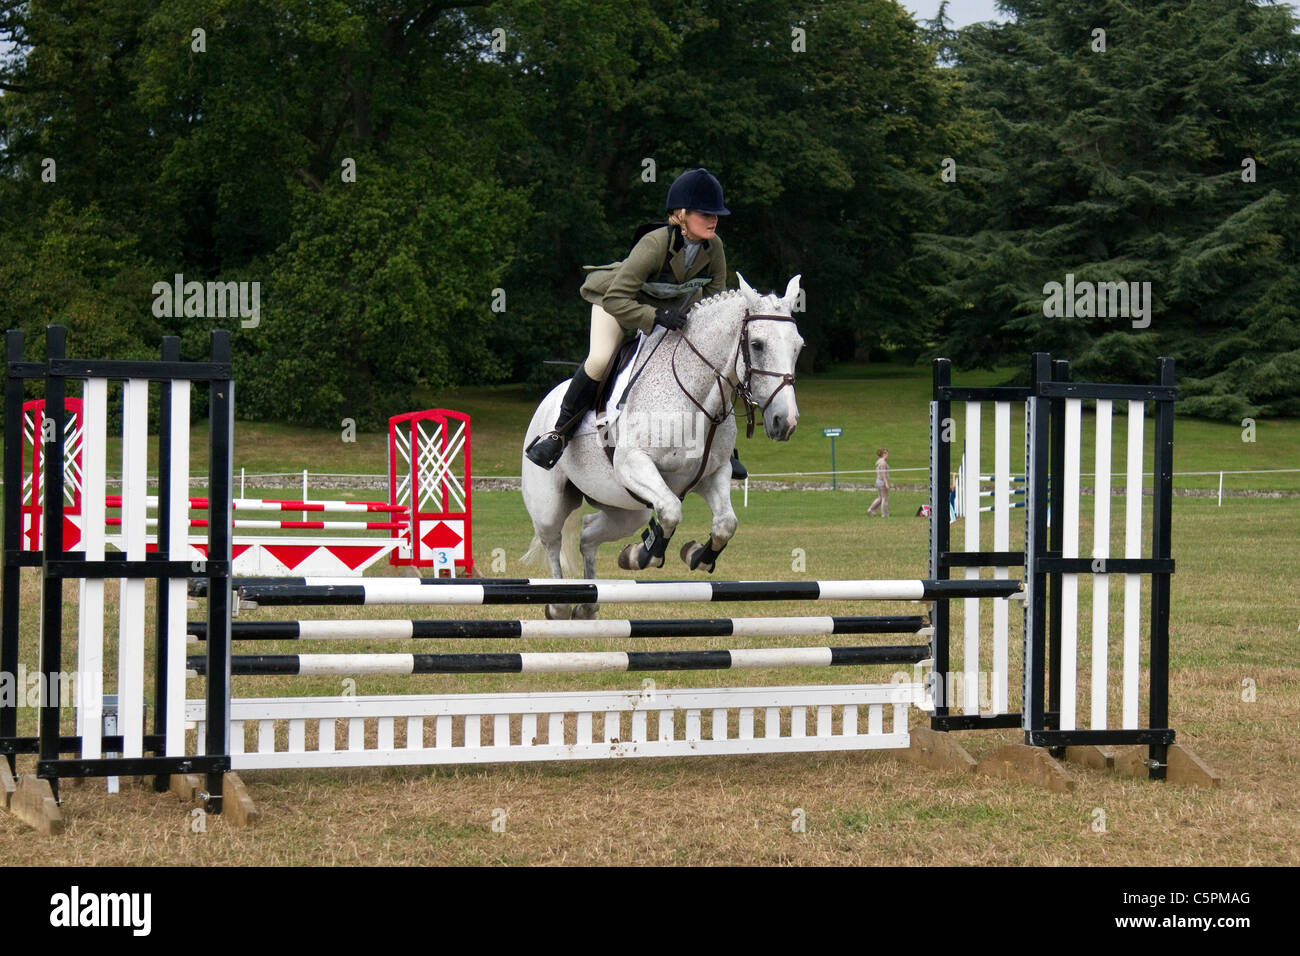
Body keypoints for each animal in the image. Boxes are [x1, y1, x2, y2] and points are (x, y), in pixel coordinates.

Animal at [521, 273, 804, 619]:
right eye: (757, 345)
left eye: (798, 346)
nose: (785, 421)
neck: (698, 399)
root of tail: (547, 400)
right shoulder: (634, 464)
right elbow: (671, 511)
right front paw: (646, 554)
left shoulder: (713, 473)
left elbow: (726, 523)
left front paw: (694, 554)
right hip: (550, 504)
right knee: (553, 542)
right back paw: (561, 604)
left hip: (626, 508)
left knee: (588, 534)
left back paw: (588, 606)